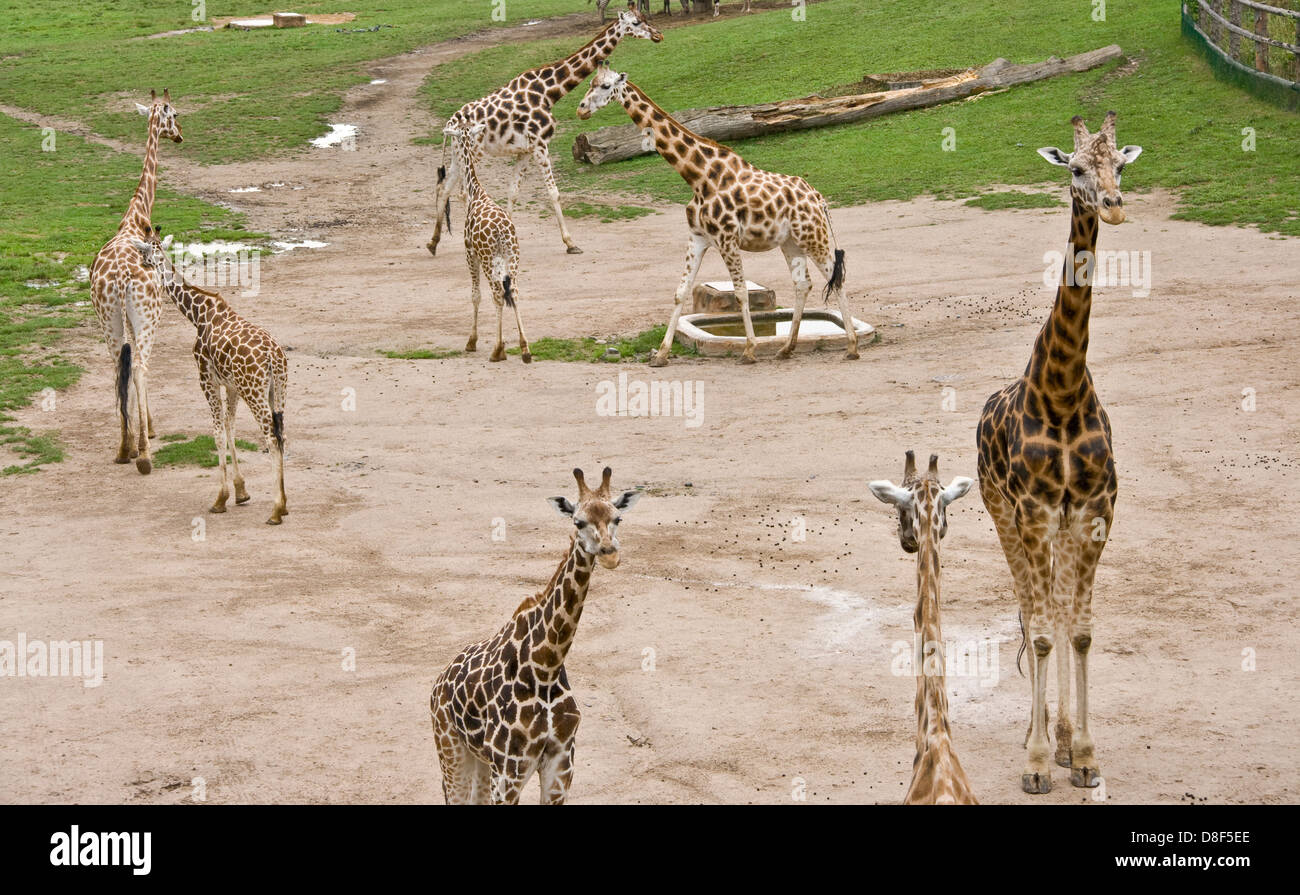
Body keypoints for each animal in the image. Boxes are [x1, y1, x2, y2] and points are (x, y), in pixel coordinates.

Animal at [130, 230, 289, 525]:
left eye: (144, 254)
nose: (143, 267)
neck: (198, 314)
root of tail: (274, 358)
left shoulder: (206, 378)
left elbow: (216, 432)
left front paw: (220, 499)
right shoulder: (232, 385)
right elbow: (229, 427)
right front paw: (241, 491)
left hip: (255, 392)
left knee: (272, 438)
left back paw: (275, 511)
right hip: (278, 391)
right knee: (282, 434)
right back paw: (283, 505)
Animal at [426, 10, 663, 257]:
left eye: (644, 19)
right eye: (636, 22)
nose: (658, 35)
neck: (549, 91)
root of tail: (450, 122)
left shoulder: (525, 151)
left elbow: (513, 191)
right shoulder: (540, 144)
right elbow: (553, 192)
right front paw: (570, 243)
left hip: (457, 154)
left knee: (444, 189)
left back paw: (433, 243)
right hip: (474, 151)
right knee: (462, 192)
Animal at [430, 467, 642, 804]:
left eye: (617, 518)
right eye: (578, 522)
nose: (610, 555)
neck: (545, 666)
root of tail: (439, 681)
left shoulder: (561, 765)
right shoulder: (509, 771)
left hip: (480, 760)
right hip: (450, 747)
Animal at [444, 123, 531, 363]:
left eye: (457, 133)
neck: (476, 192)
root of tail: (502, 230)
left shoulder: (469, 251)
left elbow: (475, 295)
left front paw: (472, 342)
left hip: (487, 257)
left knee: (497, 293)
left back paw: (497, 350)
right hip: (512, 255)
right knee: (515, 291)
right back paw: (525, 349)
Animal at [577, 68, 858, 366]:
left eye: (606, 86)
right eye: (590, 83)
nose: (581, 109)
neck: (699, 176)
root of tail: (819, 198)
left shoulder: (727, 239)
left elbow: (741, 293)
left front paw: (749, 350)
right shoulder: (697, 238)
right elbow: (680, 292)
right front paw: (661, 354)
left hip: (814, 237)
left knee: (836, 278)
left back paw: (852, 347)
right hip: (791, 242)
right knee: (802, 284)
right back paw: (786, 348)